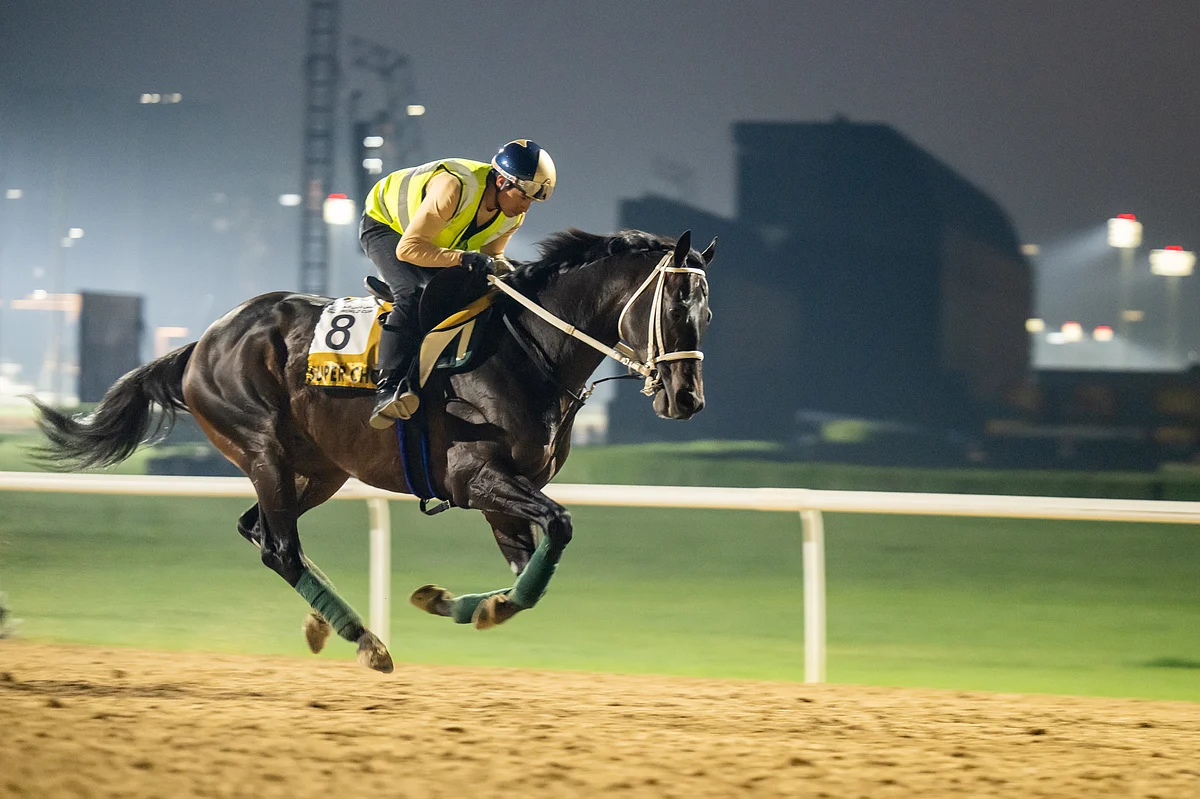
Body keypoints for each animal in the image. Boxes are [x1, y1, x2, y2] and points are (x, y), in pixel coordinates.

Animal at [31, 228, 714, 672]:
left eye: (706, 312)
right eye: (675, 306)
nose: (686, 398)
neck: (527, 352)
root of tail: (203, 341)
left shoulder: (505, 493)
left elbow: (529, 577)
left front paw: (459, 604)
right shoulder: (474, 478)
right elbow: (561, 527)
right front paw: (464, 606)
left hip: (317, 469)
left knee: (259, 529)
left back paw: (324, 621)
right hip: (262, 448)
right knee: (278, 547)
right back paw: (363, 639)